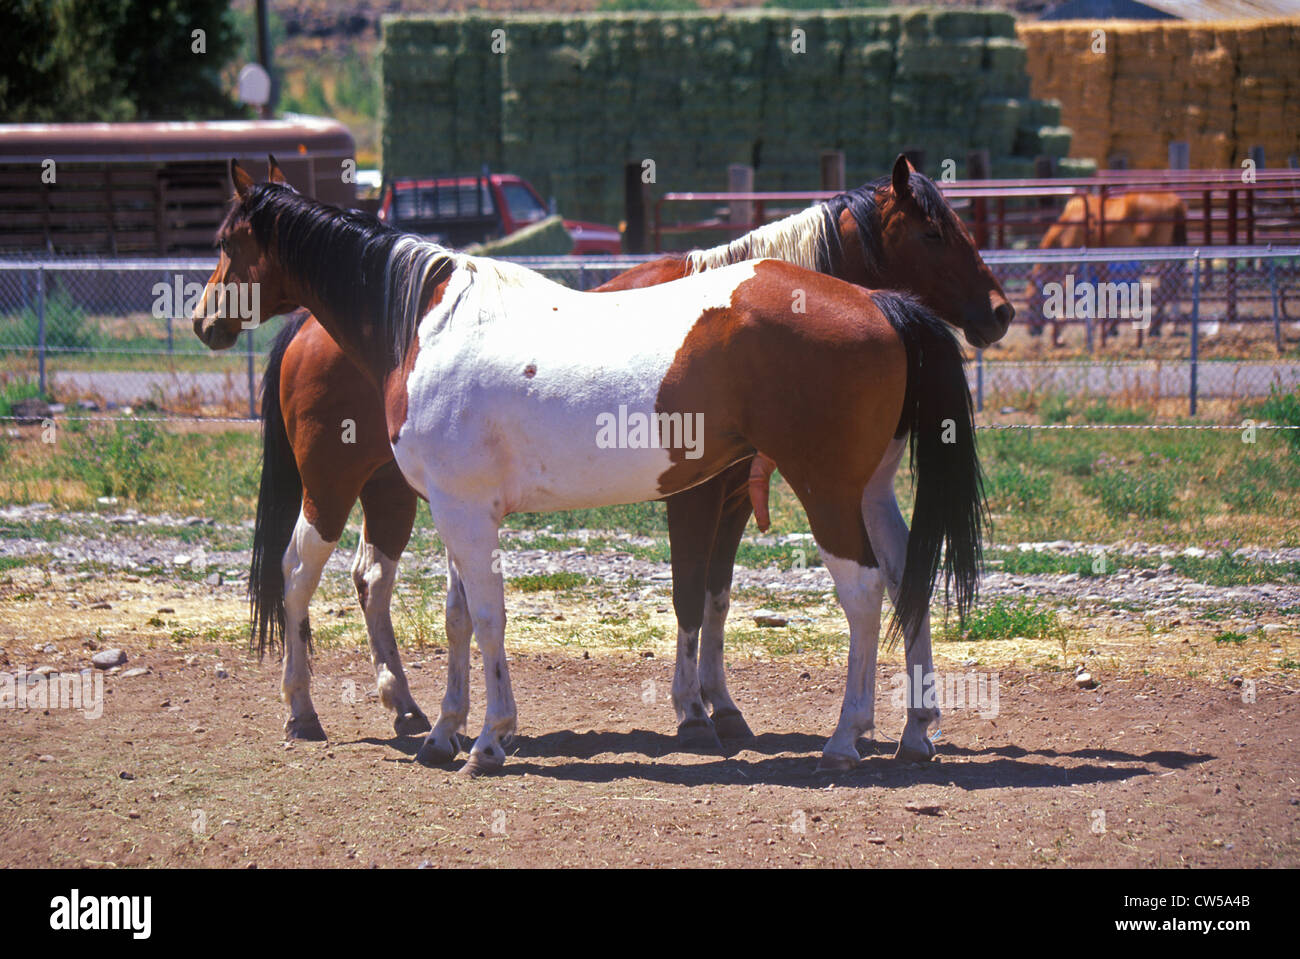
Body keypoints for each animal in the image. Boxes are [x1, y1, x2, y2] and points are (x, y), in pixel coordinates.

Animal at [194, 157, 1001, 774]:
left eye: (229, 238)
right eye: (935, 231)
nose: (204, 319)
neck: (424, 319)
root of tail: (880, 302)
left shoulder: (470, 511)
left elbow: (493, 616)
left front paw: (489, 738)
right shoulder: (461, 508)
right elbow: (462, 618)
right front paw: (447, 731)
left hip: (827, 491)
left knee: (864, 593)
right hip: (865, 490)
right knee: (905, 577)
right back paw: (909, 733)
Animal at [1027, 192, 1188, 346]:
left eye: (1031, 301)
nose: (1032, 331)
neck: (1068, 228)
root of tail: (1175, 202)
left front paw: (1060, 335)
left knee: (1168, 287)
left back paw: (1155, 327)